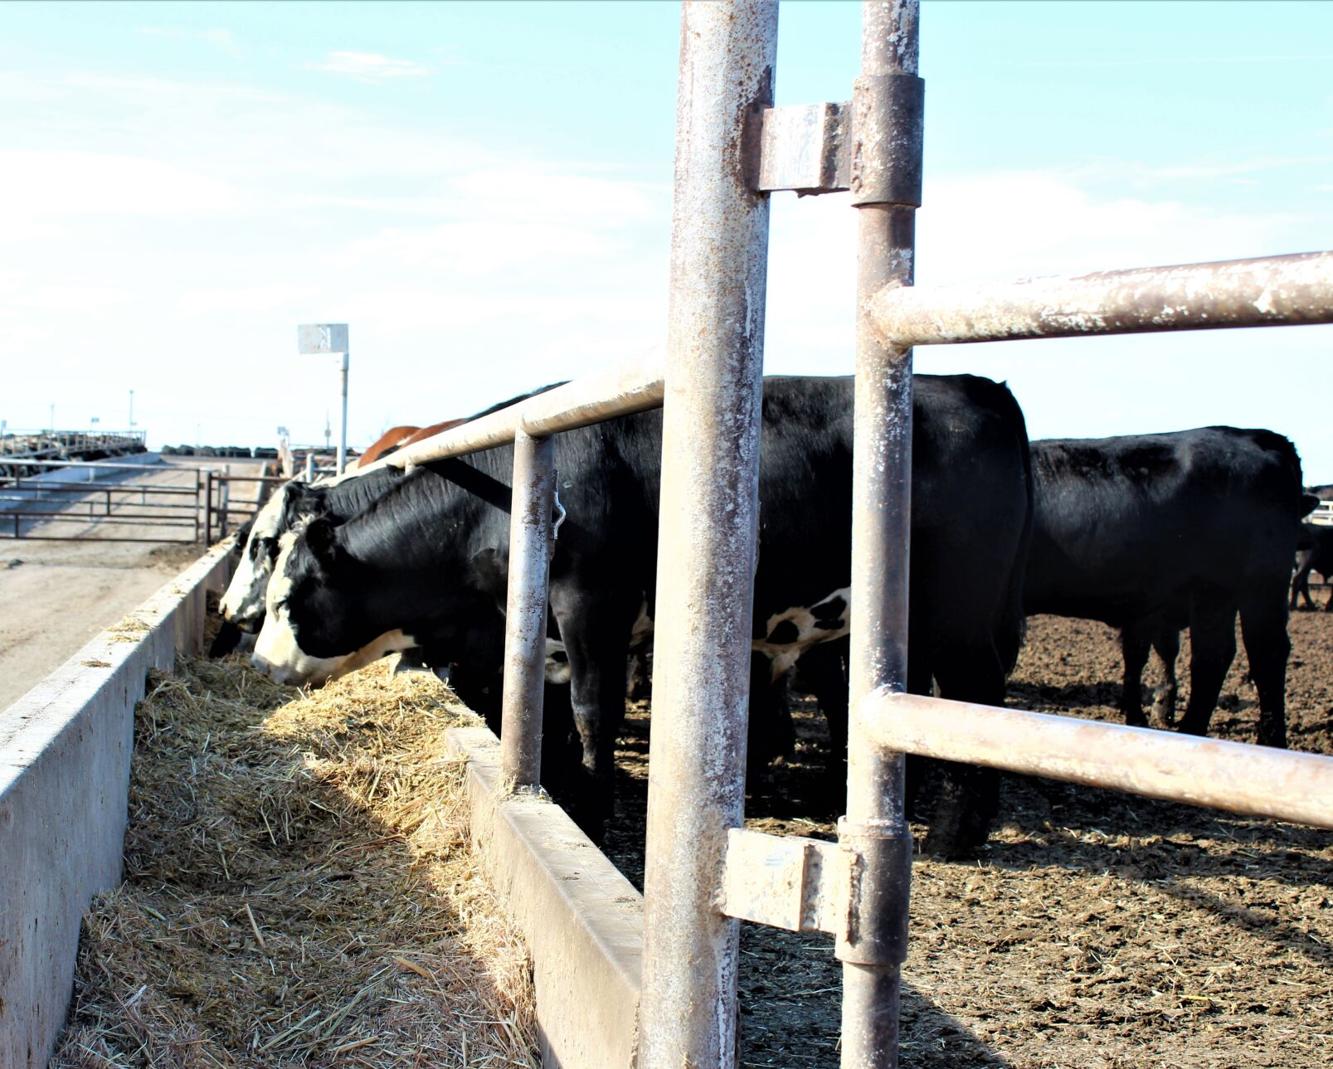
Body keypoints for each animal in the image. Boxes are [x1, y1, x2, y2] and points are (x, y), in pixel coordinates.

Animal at [250, 374, 1033, 858]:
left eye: (287, 596)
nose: (257, 660)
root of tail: (978, 388)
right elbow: (546, 709)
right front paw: (565, 788)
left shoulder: (591, 605)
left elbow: (593, 710)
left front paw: (594, 809)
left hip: (957, 611)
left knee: (976, 699)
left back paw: (956, 833)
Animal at [1025, 427, 1310, 749]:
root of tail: (1255, 436)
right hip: (1220, 593)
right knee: (1222, 654)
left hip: (1252, 585)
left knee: (1254, 653)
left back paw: (1249, 737)